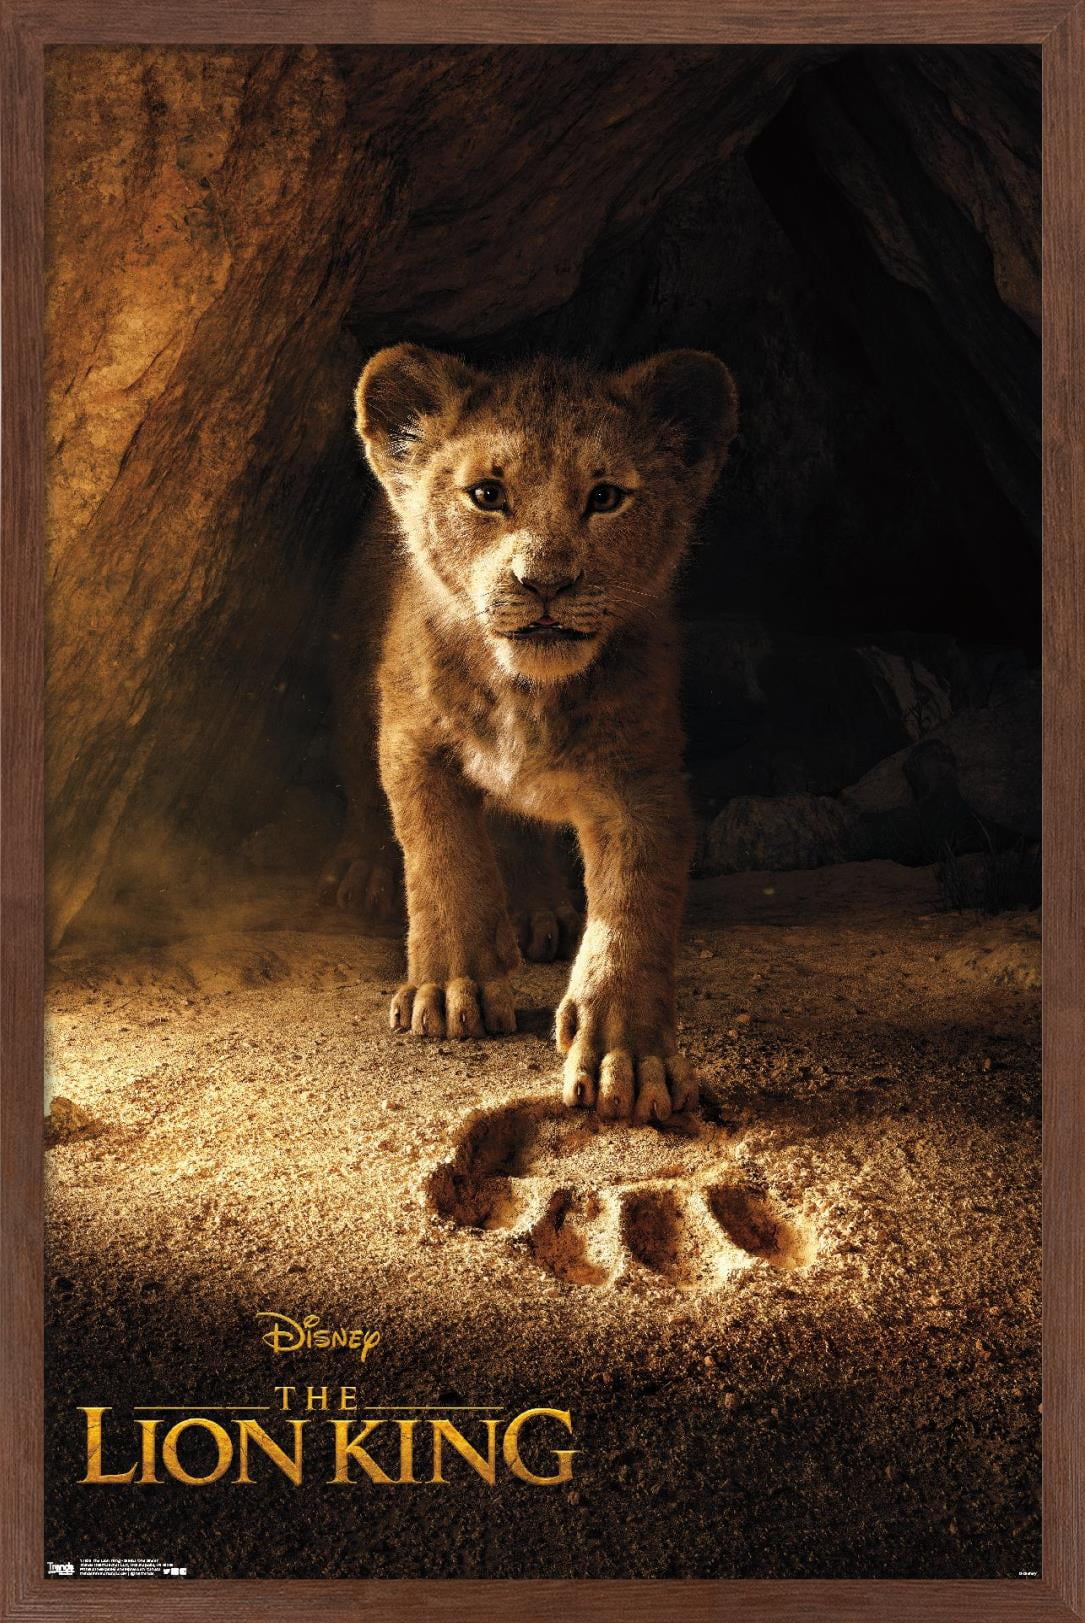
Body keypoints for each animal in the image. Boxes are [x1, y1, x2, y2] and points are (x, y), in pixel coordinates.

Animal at [323, 344, 738, 1123]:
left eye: (605, 497)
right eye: (486, 494)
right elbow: (442, 859)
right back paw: (363, 872)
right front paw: (449, 988)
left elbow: (633, 908)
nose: (544, 582)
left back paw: (538, 908)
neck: (527, 690)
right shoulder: (413, 741)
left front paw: (626, 1057)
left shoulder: (641, 780)